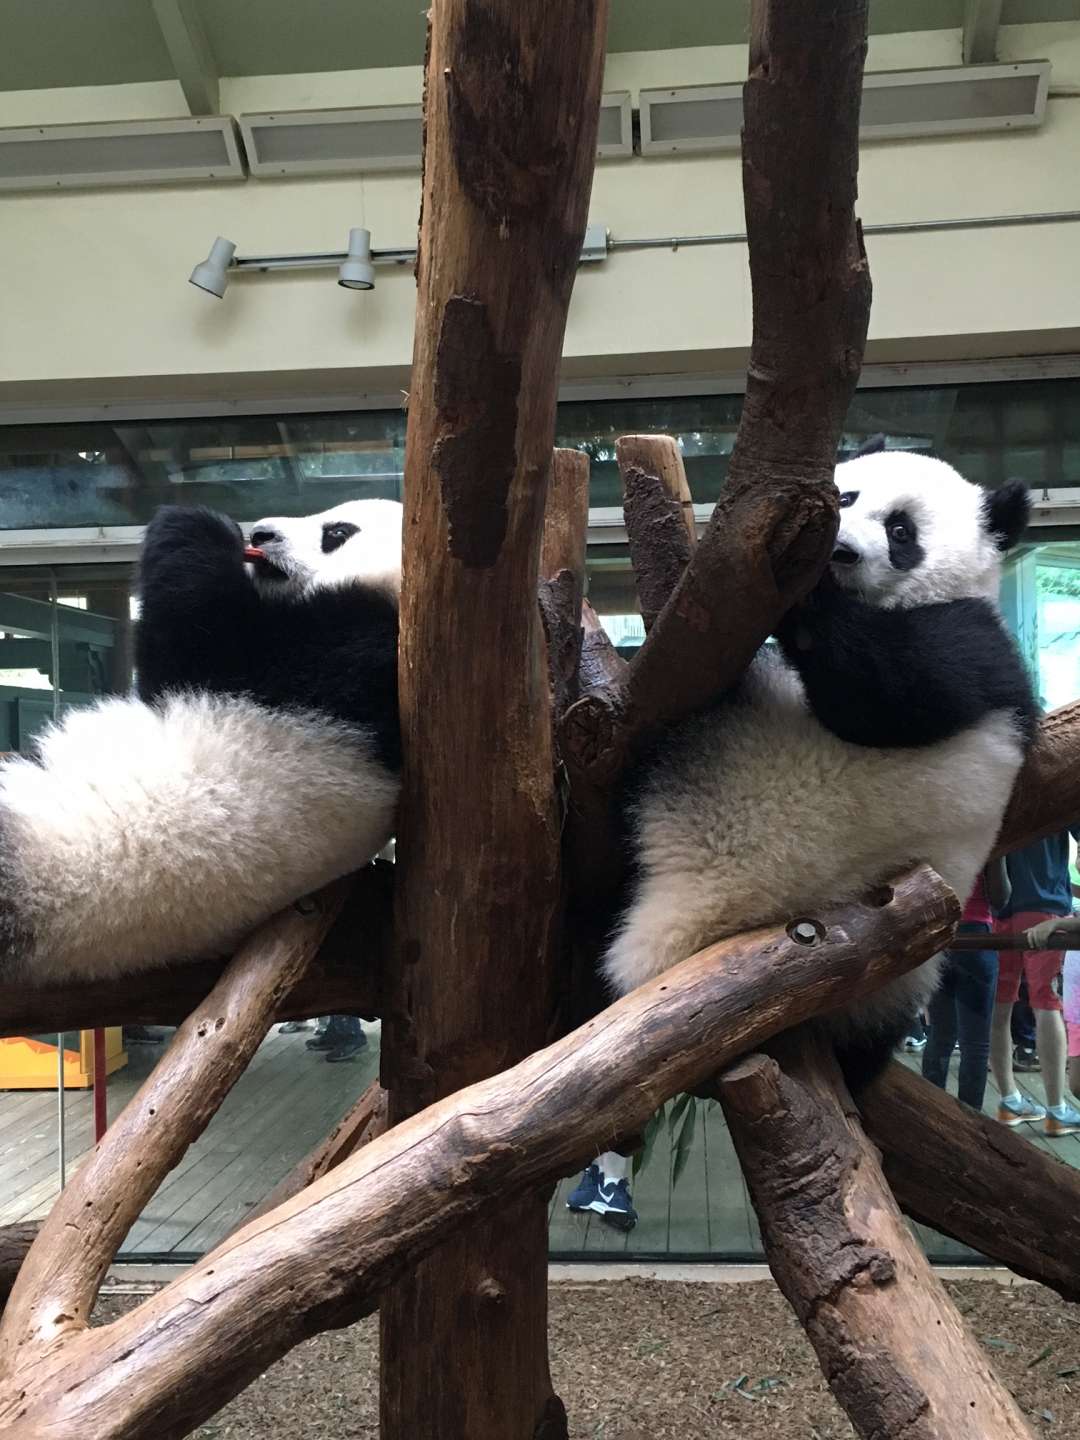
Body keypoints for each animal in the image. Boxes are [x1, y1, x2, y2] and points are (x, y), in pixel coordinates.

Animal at [603, 449, 1038, 1079]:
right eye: (848, 497)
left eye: (902, 531)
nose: (842, 552)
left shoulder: (972, 639)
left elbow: (881, 695)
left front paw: (810, 599)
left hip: (704, 781)